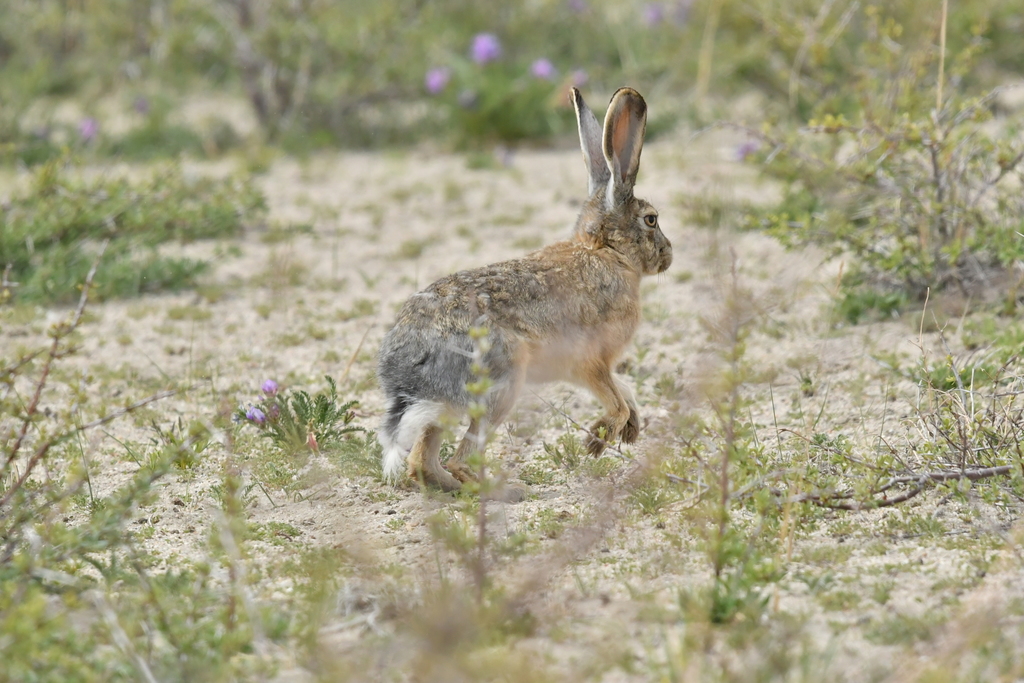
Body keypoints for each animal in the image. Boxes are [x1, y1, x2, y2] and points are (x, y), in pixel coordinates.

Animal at [376, 86, 671, 496]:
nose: (669, 255)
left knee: (422, 462)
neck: (605, 252)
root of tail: (403, 371)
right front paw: (598, 439)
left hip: (445, 408)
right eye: (651, 220)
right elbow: (615, 400)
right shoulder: (589, 361)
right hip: (503, 379)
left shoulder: (593, 368)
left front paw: (631, 429)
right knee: (461, 458)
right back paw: (504, 493)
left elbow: (624, 390)